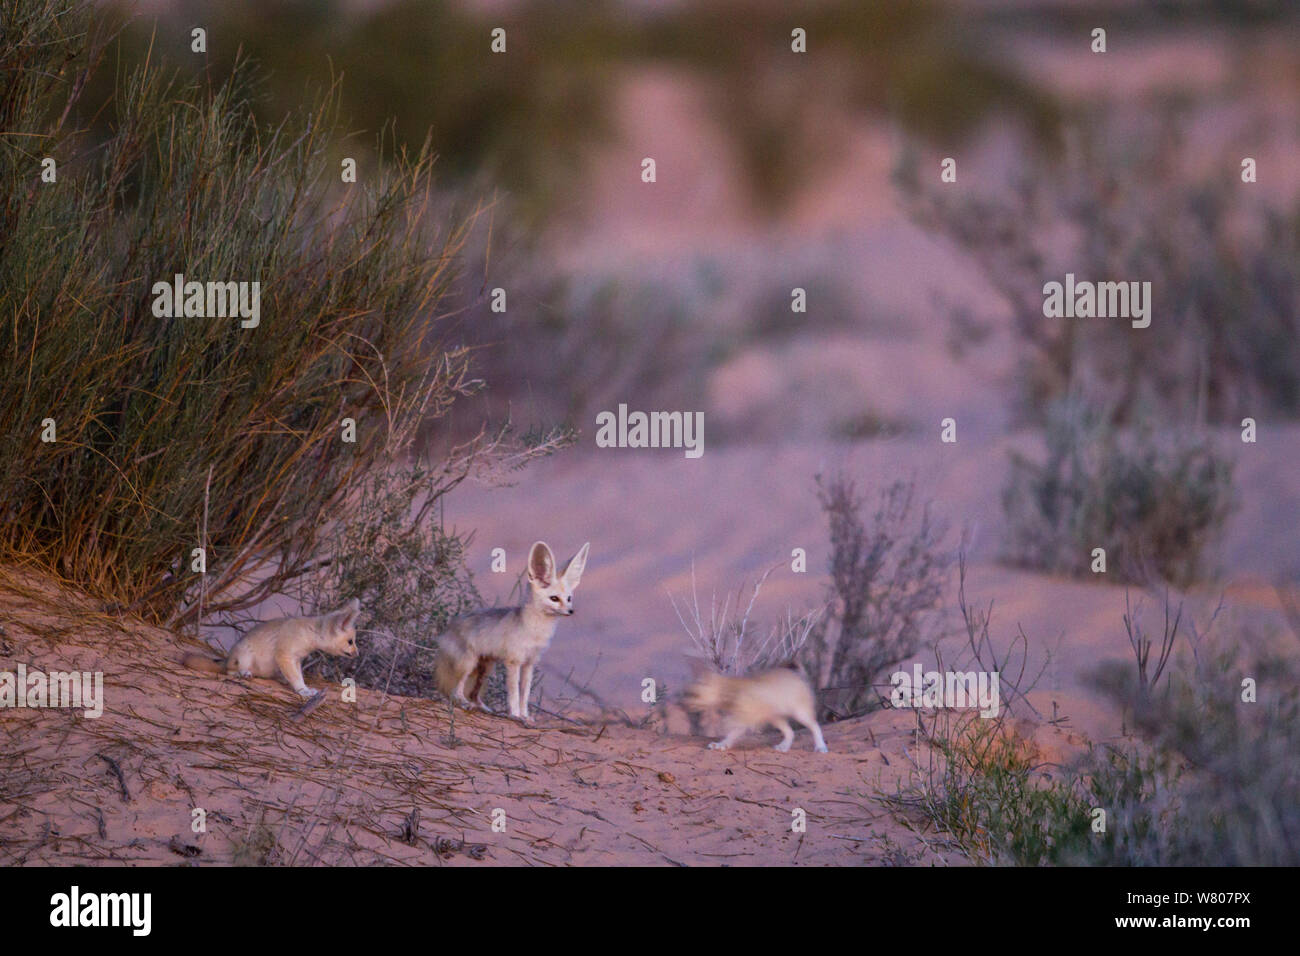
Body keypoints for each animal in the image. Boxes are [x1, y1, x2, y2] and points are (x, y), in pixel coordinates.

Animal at [181, 599, 361, 698]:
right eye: (350, 642)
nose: (357, 654)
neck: (310, 632)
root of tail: (226, 660)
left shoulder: (296, 660)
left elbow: (298, 675)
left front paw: (303, 687)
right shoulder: (285, 656)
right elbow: (296, 678)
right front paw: (304, 691)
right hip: (244, 655)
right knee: (229, 671)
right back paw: (243, 674)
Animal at [434, 540, 589, 723]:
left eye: (569, 599)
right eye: (554, 599)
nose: (571, 611)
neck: (536, 630)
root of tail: (447, 629)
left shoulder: (530, 663)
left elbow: (525, 694)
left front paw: (525, 716)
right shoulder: (514, 662)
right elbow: (514, 693)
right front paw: (515, 715)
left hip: (485, 669)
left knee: (474, 694)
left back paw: (485, 709)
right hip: (468, 665)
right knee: (455, 691)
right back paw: (464, 704)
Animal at [683, 663, 830, 753]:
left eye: (693, 694)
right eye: (687, 693)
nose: (684, 705)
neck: (728, 690)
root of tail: (799, 676)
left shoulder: (745, 719)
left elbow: (731, 733)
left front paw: (721, 744)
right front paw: (721, 744)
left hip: (800, 713)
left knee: (815, 726)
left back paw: (821, 747)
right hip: (775, 718)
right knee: (790, 732)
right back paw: (783, 747)